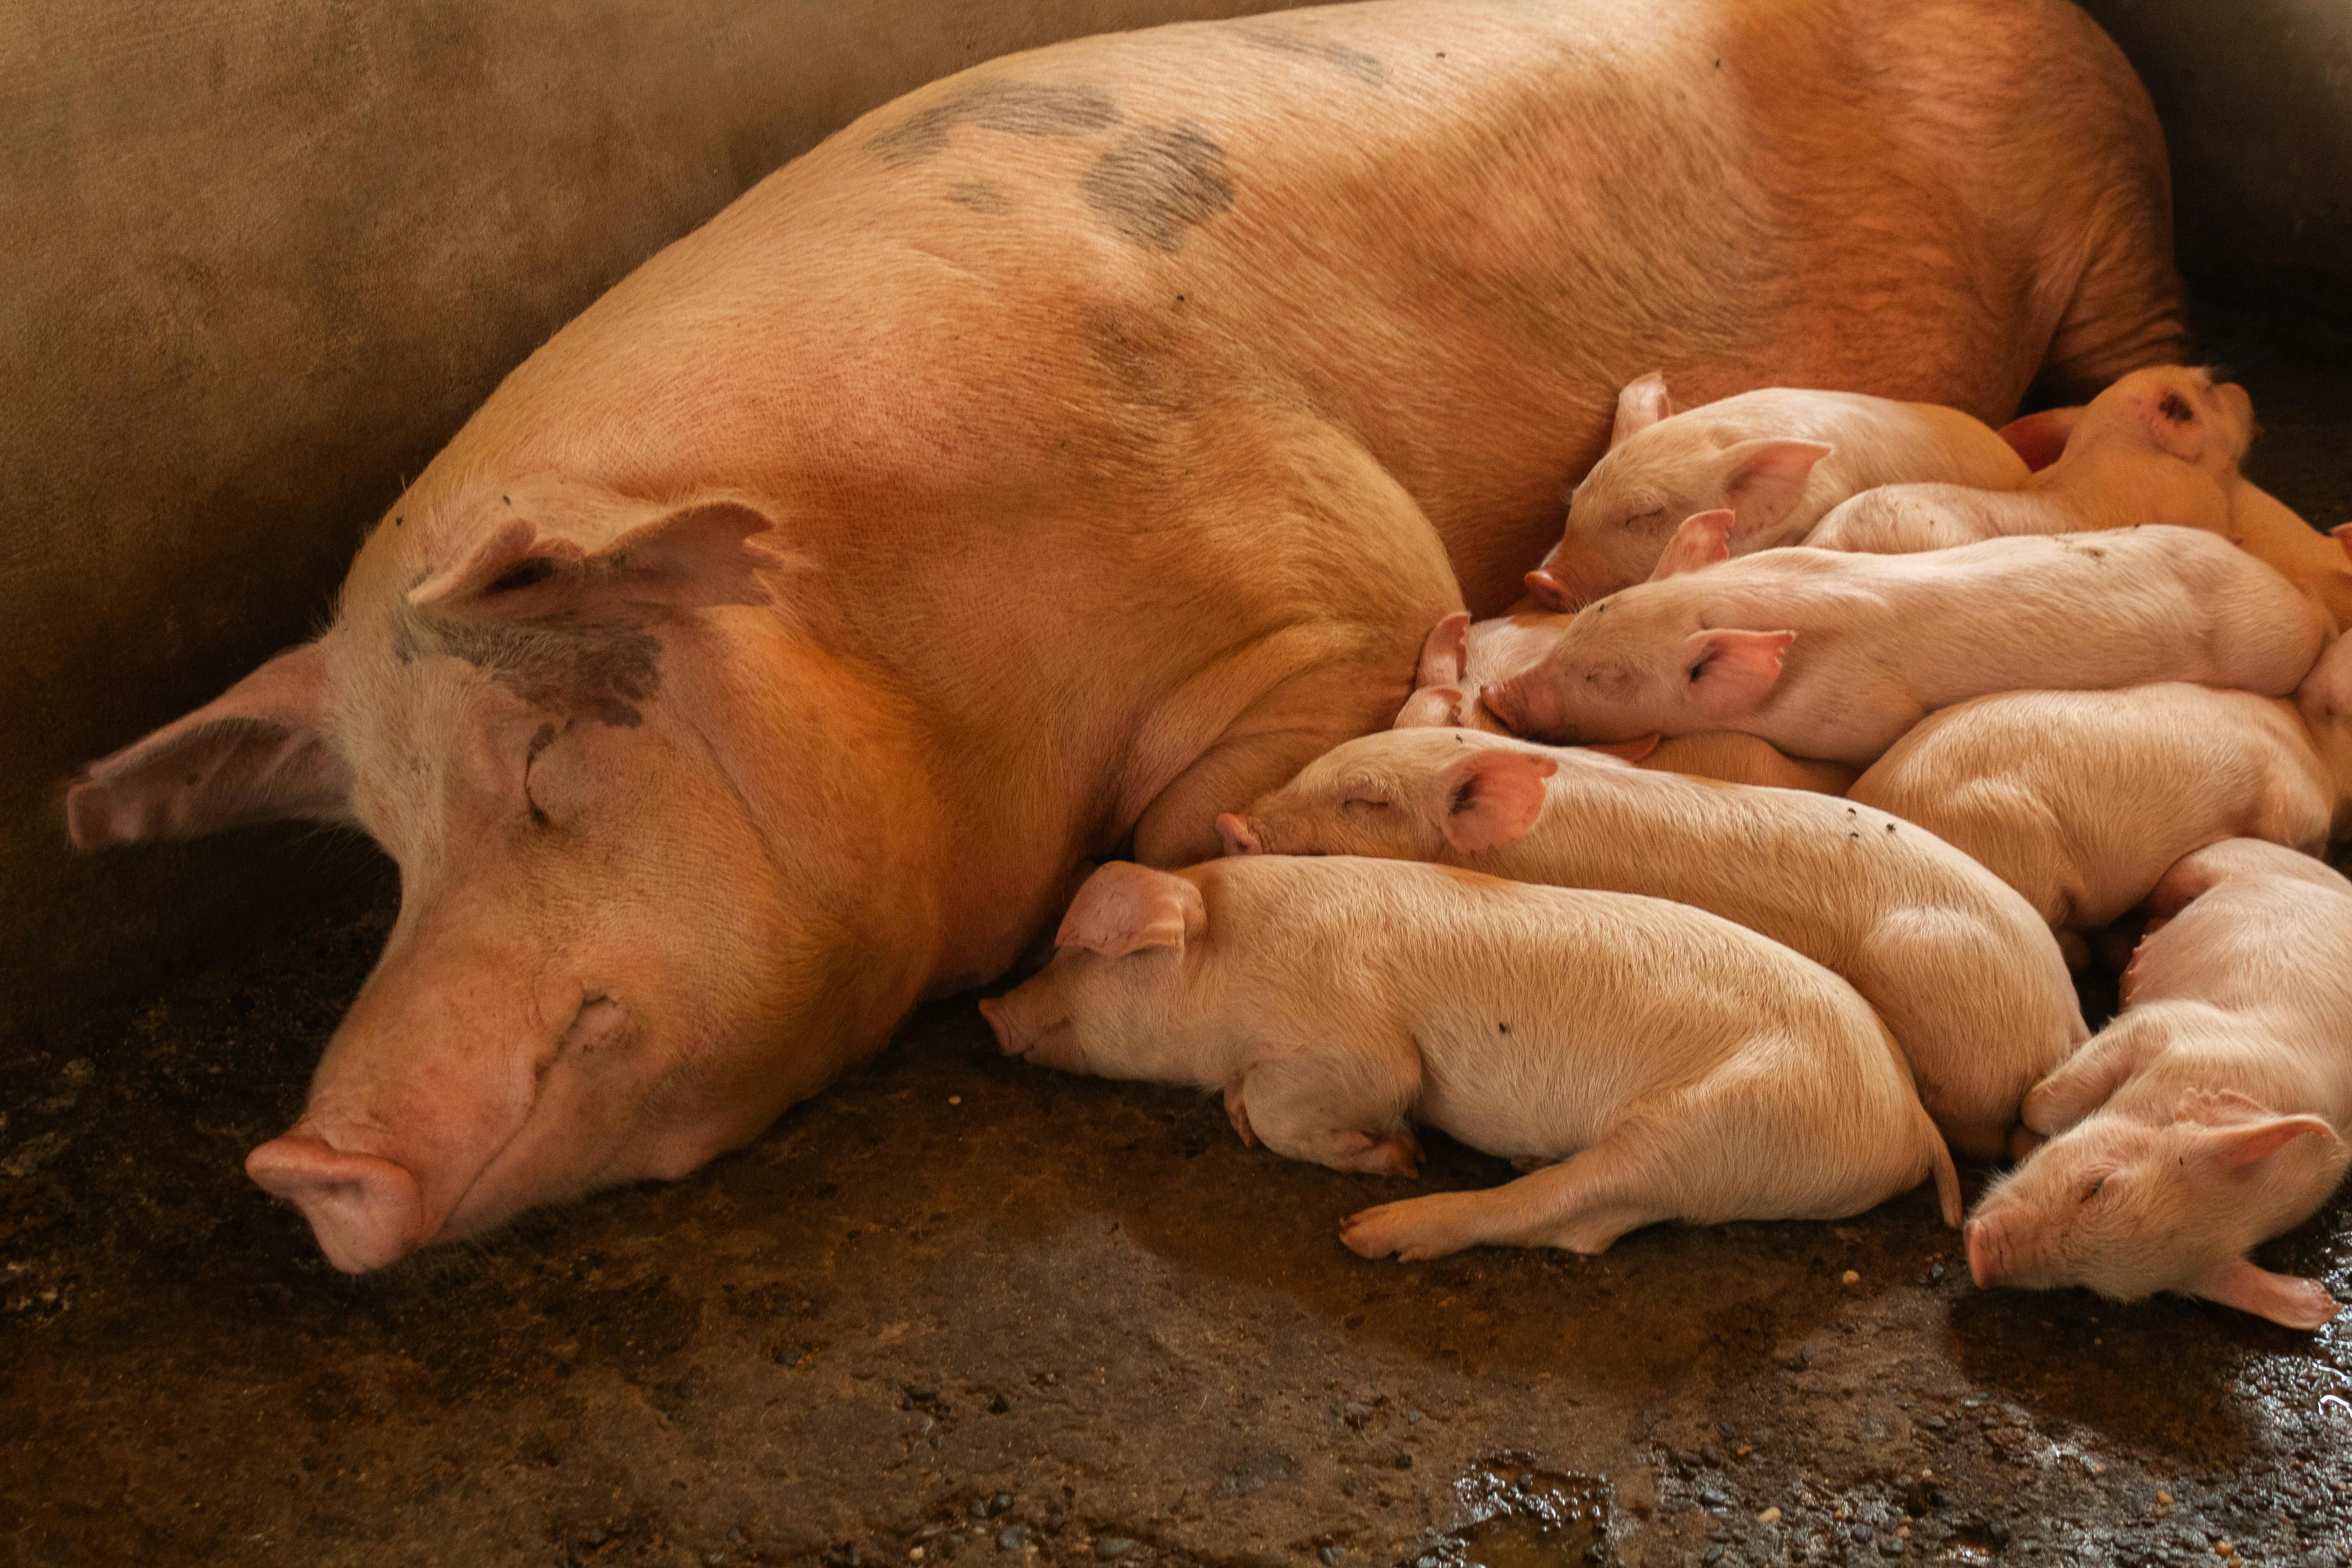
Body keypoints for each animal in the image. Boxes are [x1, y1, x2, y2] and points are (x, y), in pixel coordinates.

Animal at [982, 856, 1960, 1258]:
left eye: (1081, 951)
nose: (990, 1011)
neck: (1236, 958)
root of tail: (1909, 1118)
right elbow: (1245, 1100)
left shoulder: (1352, 1040)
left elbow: (1310, 1095)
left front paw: (1394, 1151)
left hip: (1725, 1128)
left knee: (1571, 1218)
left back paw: (1375, 1234)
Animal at [1484, 516, 2325, 768]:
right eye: (1582, 626)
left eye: (1606, 679)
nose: (1495, 694)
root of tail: (2296, 601)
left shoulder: (1855, 710)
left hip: (2267, 646)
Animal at [1966, 838, 2352, 1329]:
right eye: (2098, 1186)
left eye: (2092, 1287)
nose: (1979, 1257)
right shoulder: (2161, 1025)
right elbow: (2042, 1105)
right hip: (2211, 862)